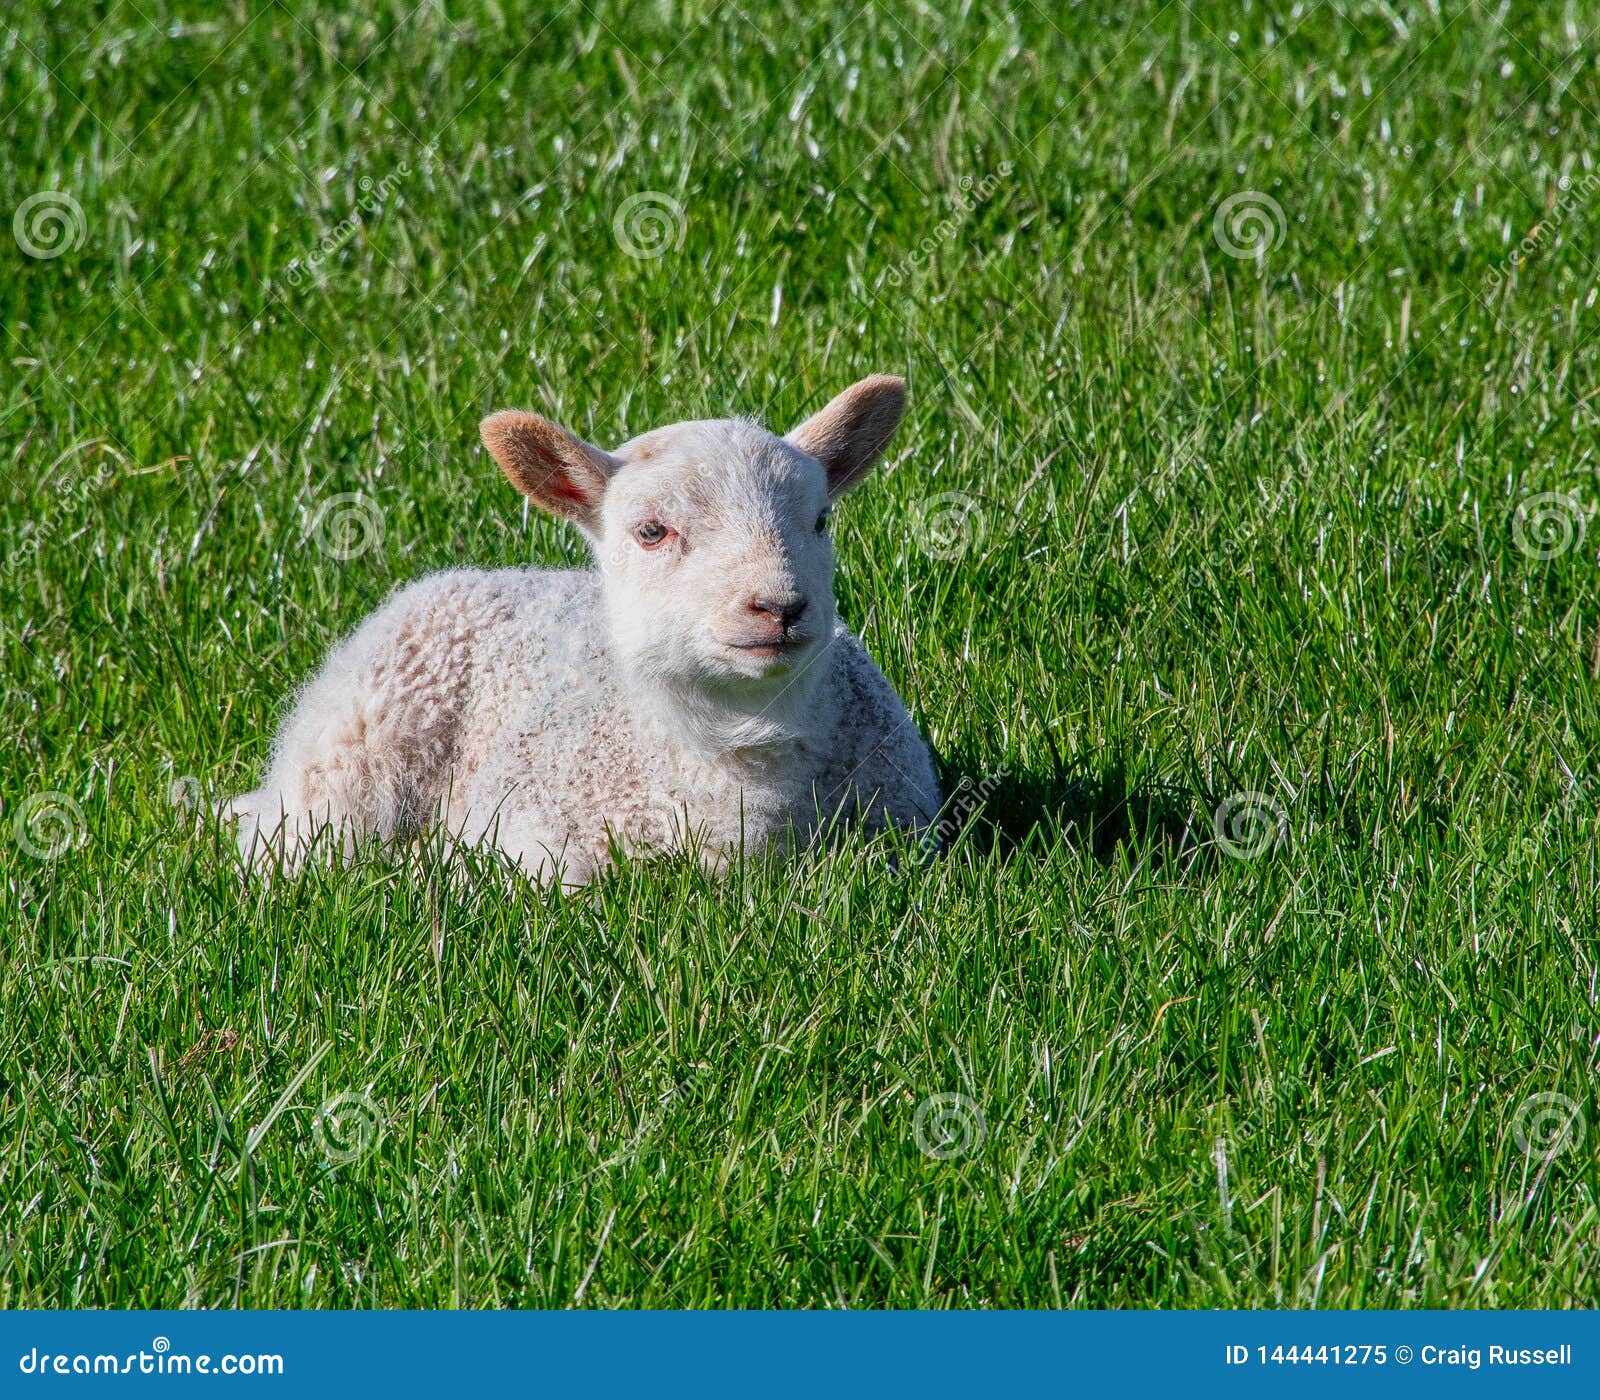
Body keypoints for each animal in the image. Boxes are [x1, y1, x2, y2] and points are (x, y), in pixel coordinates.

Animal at [229, 374, 942, 885]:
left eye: (820, 519)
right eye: (651, 531)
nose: (780, 605)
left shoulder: (907, 823)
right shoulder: (528, 825)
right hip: (345, 763)